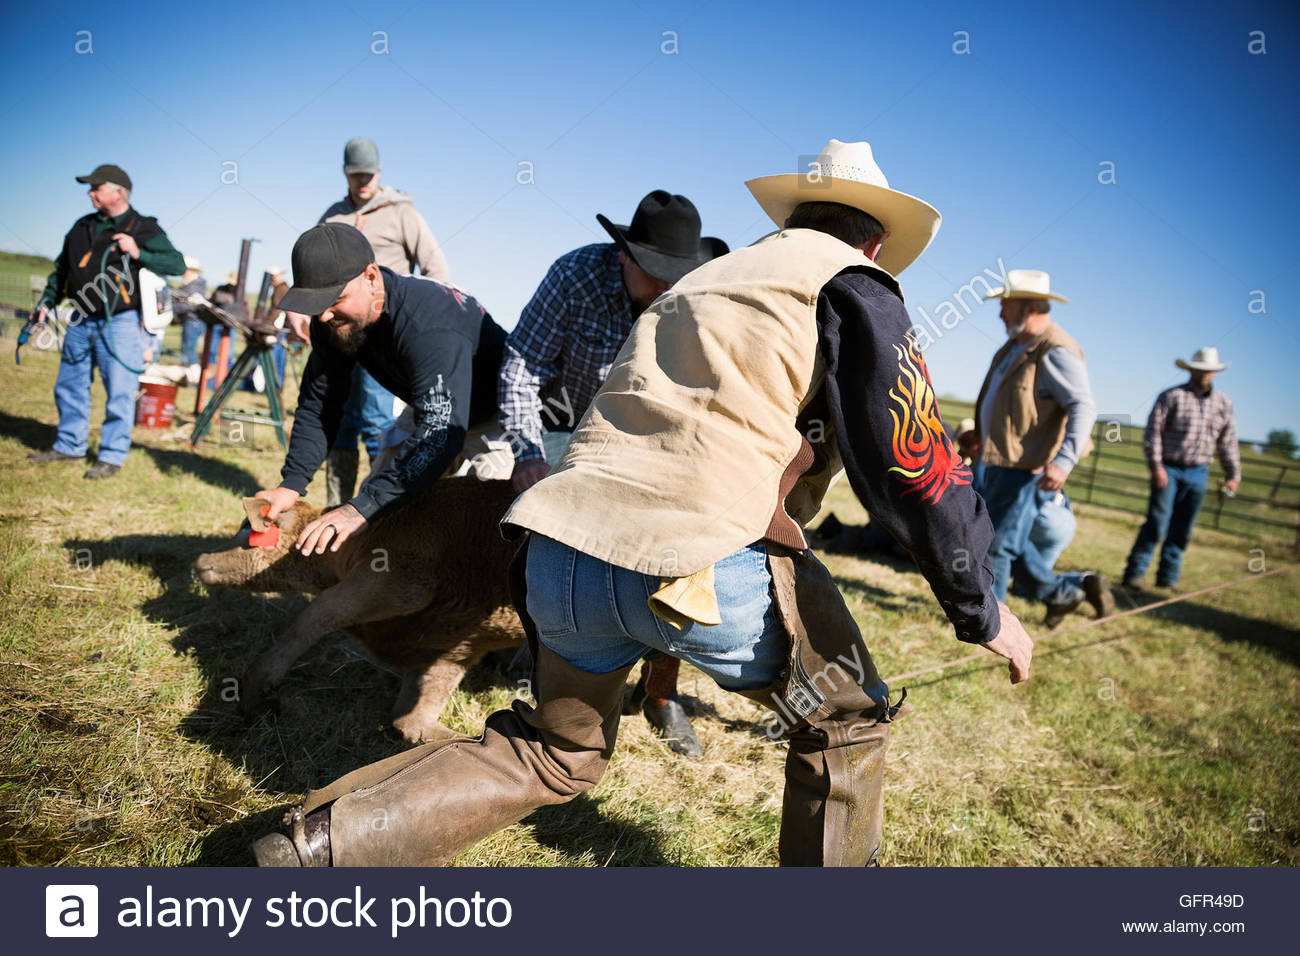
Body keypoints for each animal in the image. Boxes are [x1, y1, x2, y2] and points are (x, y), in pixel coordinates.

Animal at [193, 477, 524, 743]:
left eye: (245, 528)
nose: (201, 559)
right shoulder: (451, 646)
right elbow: (412, 720)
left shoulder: (401, 581)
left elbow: (313, 616)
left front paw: (253, 692)